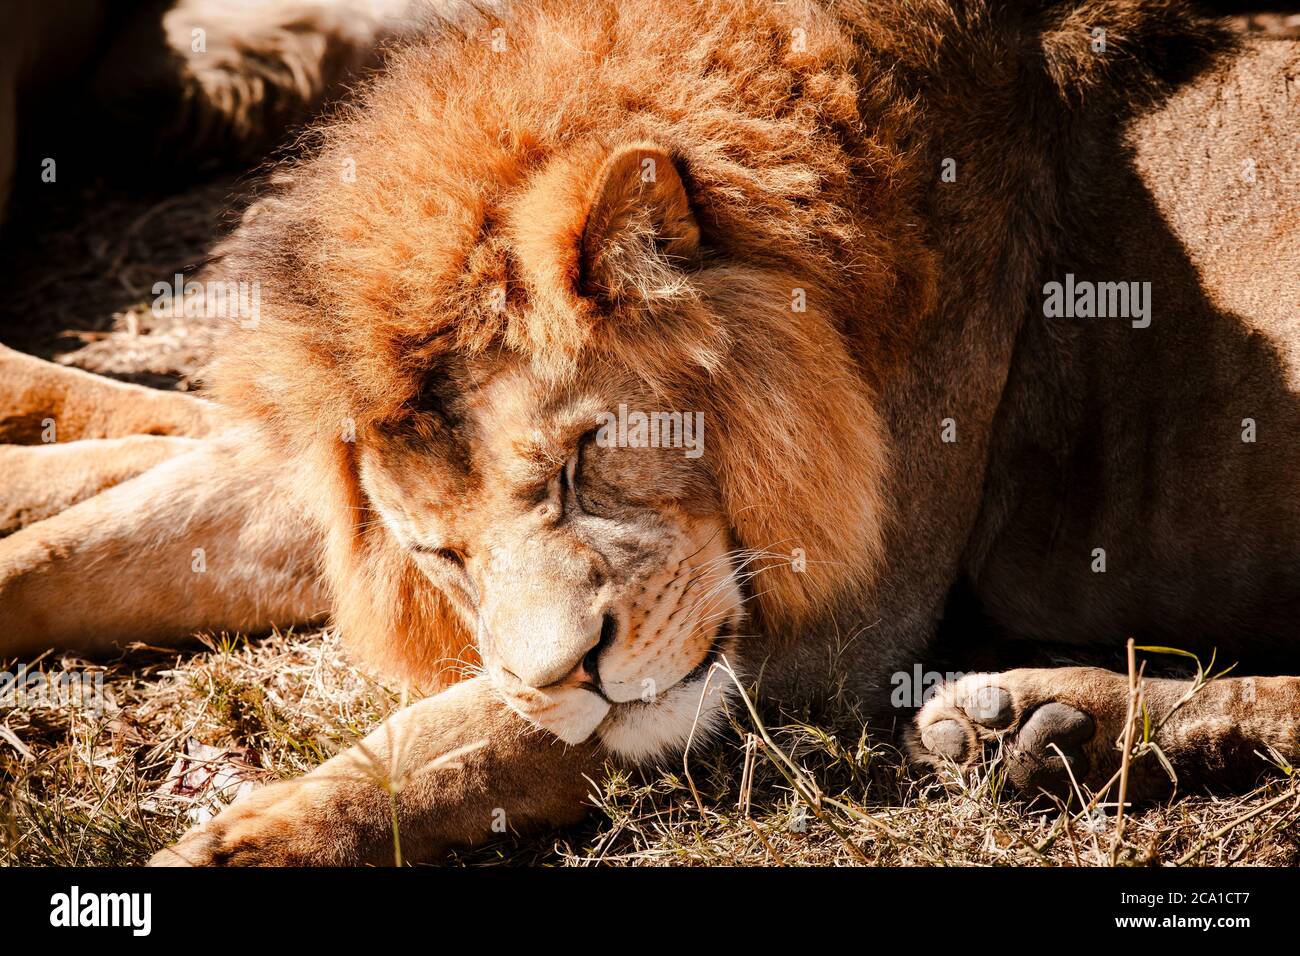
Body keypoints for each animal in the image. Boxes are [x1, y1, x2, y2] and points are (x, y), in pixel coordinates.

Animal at [1, 0, 1298, 866]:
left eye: (584, 460)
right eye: (439, 555)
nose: (573, 672)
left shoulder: (833, 630)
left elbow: (453, 742)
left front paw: (233, 842)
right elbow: (95, 542)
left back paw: (1040, 725)